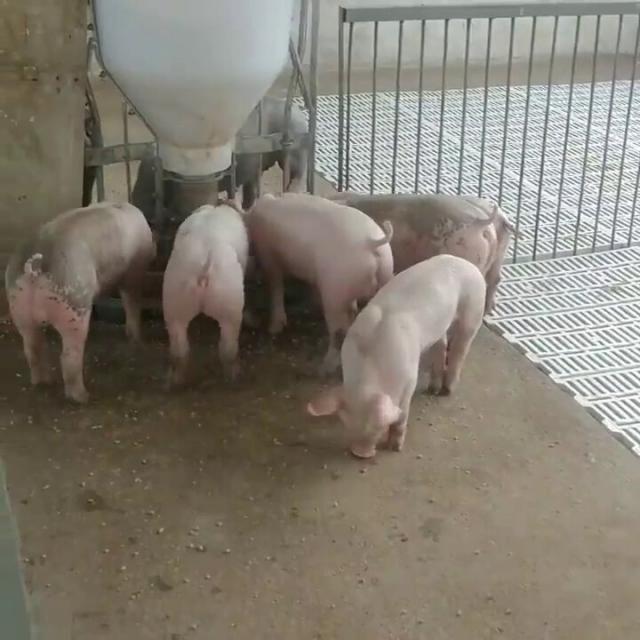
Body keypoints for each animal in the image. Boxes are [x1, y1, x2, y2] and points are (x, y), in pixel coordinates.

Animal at [5, 202, 155, 403]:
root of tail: (34, 268)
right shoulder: (133, 272)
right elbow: (132, 301)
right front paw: (137, 340)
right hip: (75, 304)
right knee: (69, 356)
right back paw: (83, 397)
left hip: (18, 306)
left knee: (32, 347)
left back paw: (42, 383)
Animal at [162, 202, 249, 387]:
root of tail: (203, 267)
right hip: (229, 299)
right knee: (228, 348)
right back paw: (234, 377)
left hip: (174, 299)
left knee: (179, 350)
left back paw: (173, 381)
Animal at [248, 193, 394, 374]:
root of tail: (371, 242)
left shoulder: (268, 255)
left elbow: (275, 285)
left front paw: (273, 329)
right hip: (385, 272)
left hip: (335, 287)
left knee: (337, 329)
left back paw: (325, 367)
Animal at [307, 254, 486, 459]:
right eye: (347, 426)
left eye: (377, 429)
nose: (360, 453)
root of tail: (467, 264)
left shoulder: (410, 379)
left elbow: (402, 413)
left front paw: (395, 447)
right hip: (440, 326)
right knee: (441, 345)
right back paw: (433, 389)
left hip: (473, 309)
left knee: (461, 347)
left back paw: (446, 391)